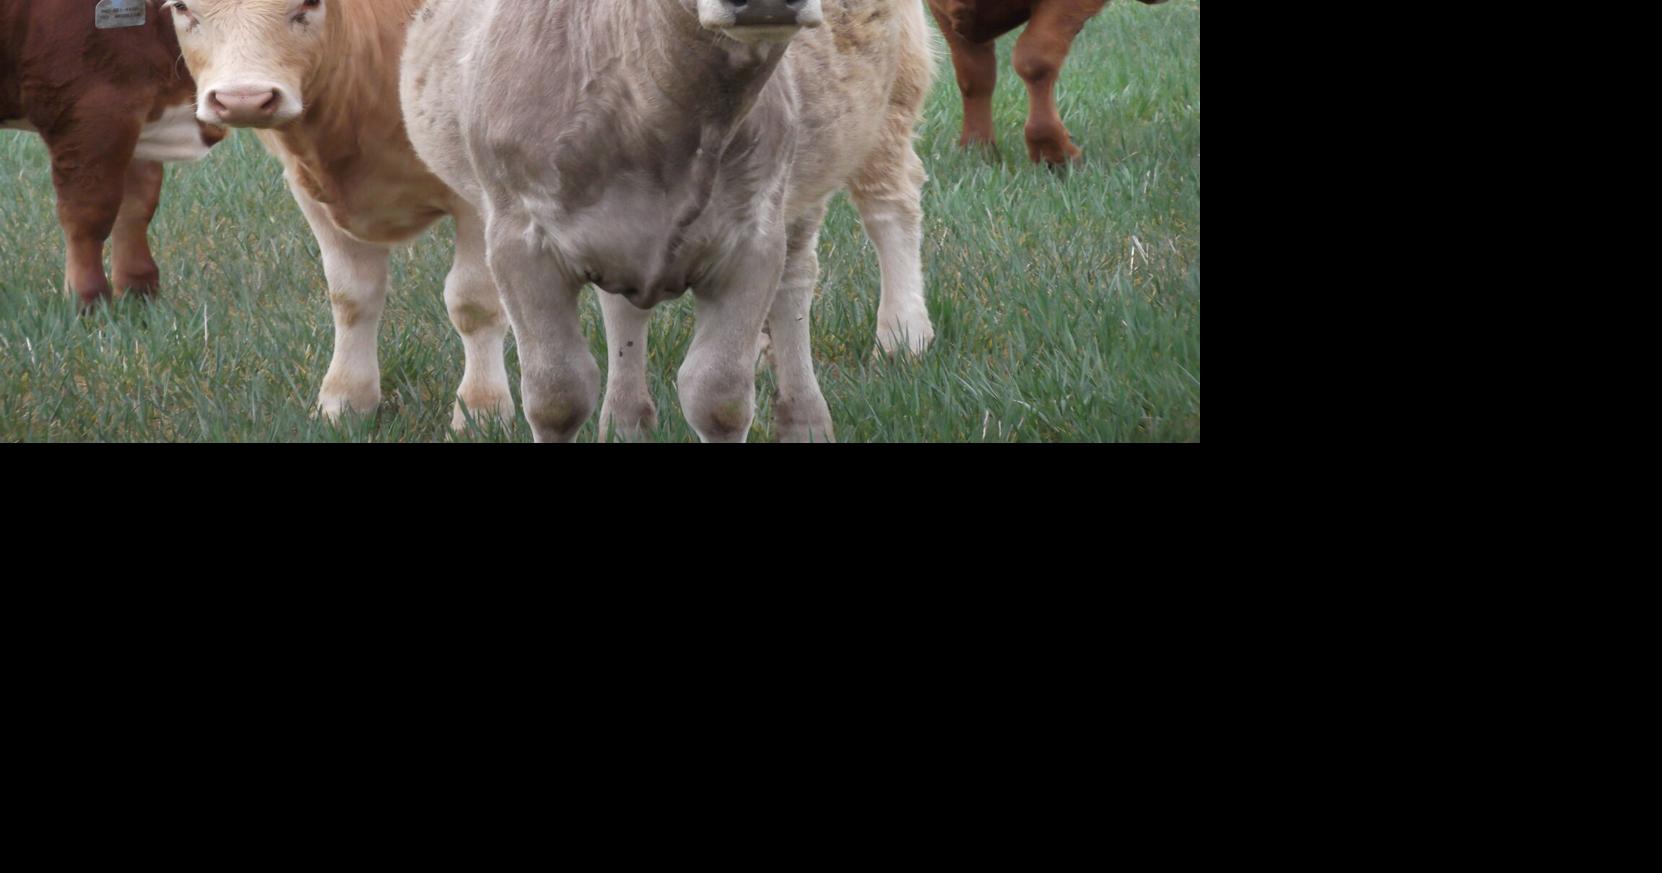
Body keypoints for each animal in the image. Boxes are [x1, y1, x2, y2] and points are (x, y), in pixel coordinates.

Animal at [165, 0, 516, 430]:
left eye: (310, 4)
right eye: (182, 7)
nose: (243, 99)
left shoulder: (478, 194)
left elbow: (473, 301)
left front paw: (482, 411)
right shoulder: (310, 193)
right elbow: (352, 295)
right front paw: (346, 400)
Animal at [401, 0, 936, 443]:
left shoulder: (754, 240)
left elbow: (718, 395)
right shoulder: (520, 242)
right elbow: (558, 396)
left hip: (881, 114)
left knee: (859, 230)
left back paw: (884, 352)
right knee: (628, 312)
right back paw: (626, 423)